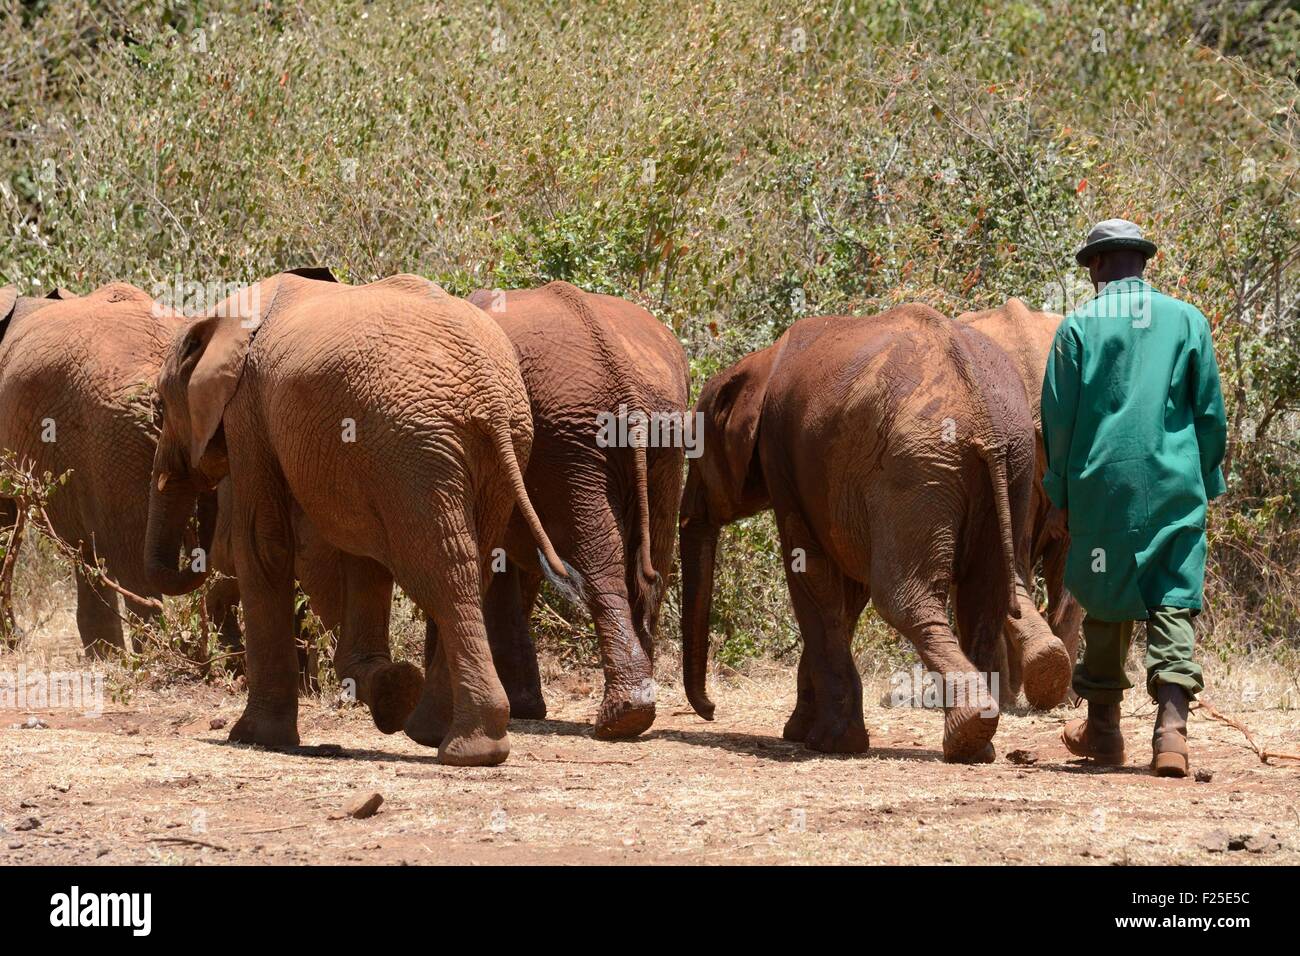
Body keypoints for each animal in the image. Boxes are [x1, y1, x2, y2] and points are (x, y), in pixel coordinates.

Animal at [145, 270, 566, 766]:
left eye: (160, 405)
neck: (223, 317)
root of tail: (492, 402)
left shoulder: (248, 408)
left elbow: (264, 544)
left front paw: (253, 735)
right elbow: (361, 554)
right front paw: (383, 687)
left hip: (414, 448)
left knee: (443, 572)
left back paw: (466, 748)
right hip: (473, 452)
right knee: (468, 567)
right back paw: (431, 728)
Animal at [426, 282, 689, 739]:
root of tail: (622, 373)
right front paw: (523, 708)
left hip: (570, 439)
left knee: (600, 561)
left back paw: (621, 718)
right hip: (658, 437)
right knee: (652, 563)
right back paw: (634, 712)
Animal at [678, 305, 1071, 762]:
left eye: (694, 453)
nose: (710, 710)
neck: (762, 362)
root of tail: (980, 410)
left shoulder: (784, 460)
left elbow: (813, 577)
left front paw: (829, 743)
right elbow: (847, 594)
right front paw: (802, 732)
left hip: (915, 469)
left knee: (904, 599)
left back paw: (968, 730)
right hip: (1014, 464)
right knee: (986, 597)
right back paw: (980, 741)